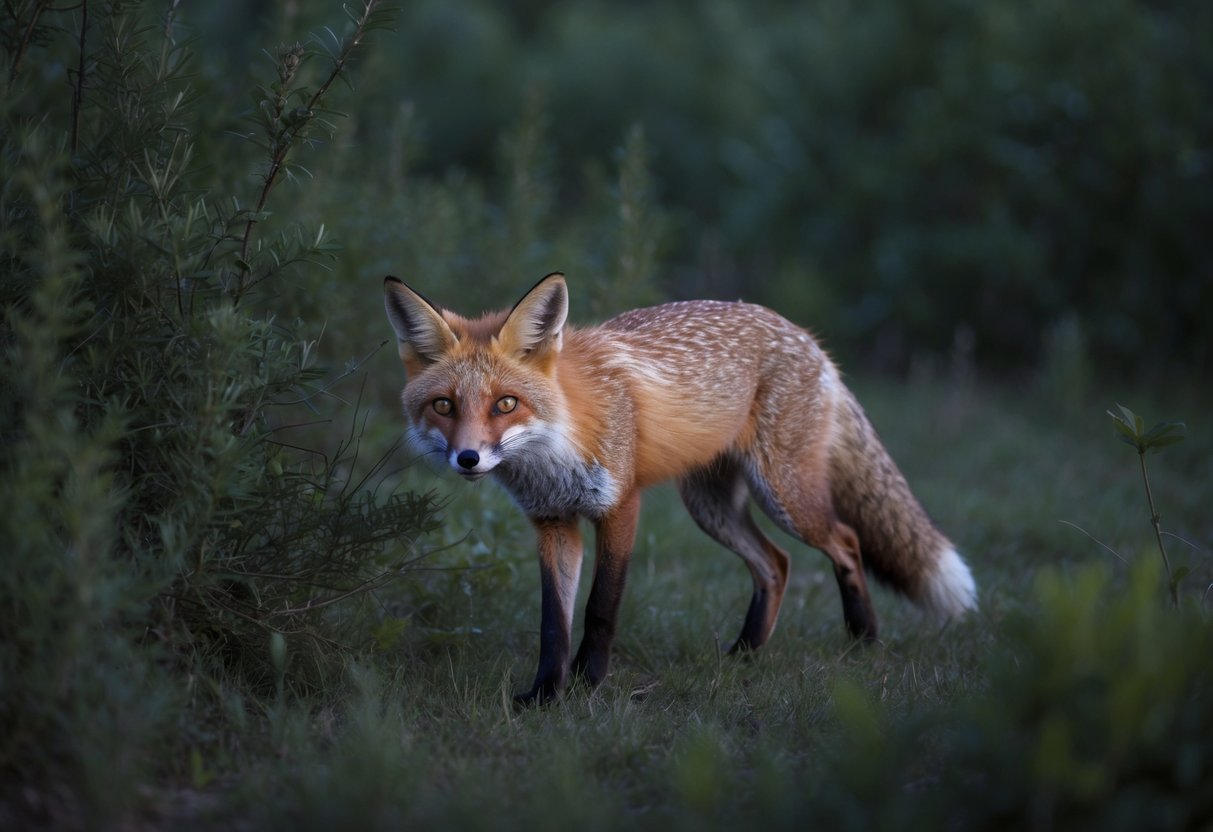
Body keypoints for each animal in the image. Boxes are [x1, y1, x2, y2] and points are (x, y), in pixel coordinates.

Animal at [383, 272, 978, 705]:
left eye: (505, 404)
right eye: (444, 406)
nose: (468, 458)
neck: (556, 446)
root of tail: (805, 336)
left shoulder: (620, 506)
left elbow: (600, 609)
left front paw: (587, 686)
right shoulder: (553, 522)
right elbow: (554, 623)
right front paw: (544, 696)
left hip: (784, 496)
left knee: (847, 541)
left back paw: (864, 639)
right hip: (710, 508)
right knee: (776, 564)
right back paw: (744, 654)